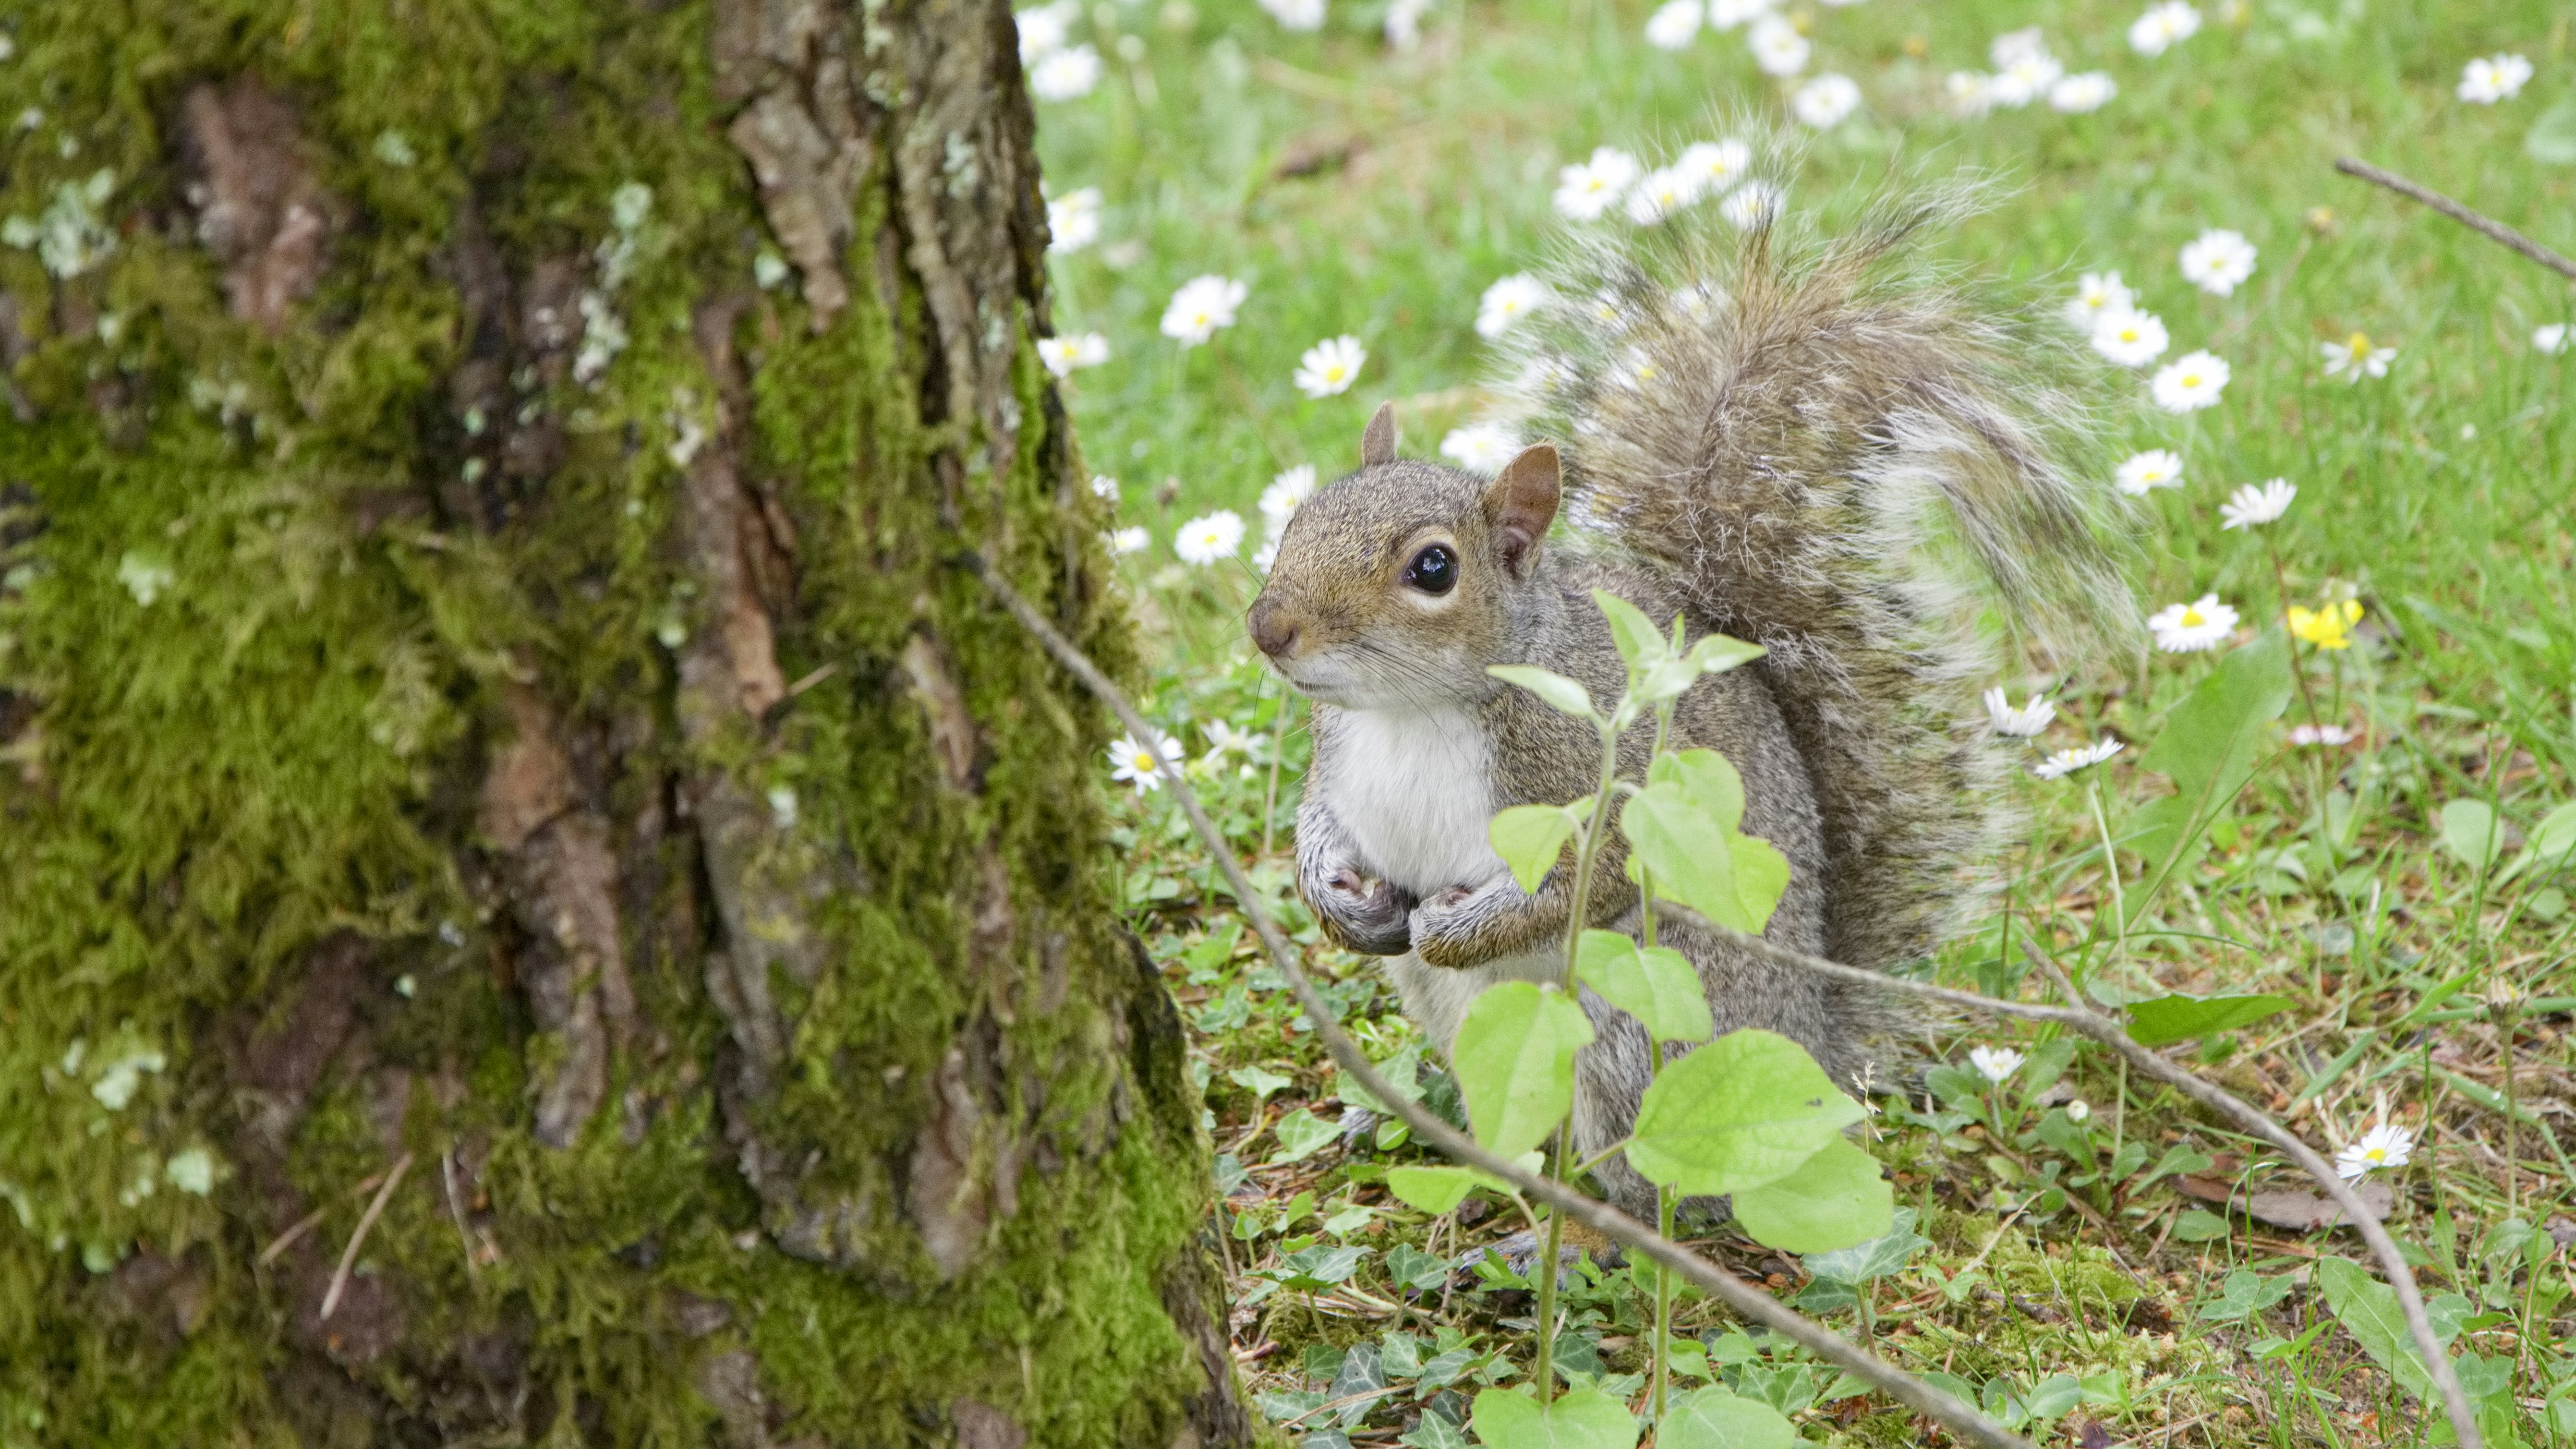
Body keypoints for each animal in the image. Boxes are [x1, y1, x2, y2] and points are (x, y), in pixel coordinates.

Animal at [1245, 171, 2132, 1217]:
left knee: (1642, 1171)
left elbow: (1590, 875)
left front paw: (1455, 925)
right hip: (1468, 1024)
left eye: (1432, 568)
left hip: (1635, 1022)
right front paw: (1335, 898)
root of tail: (1807, 1054)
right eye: (1299, 516)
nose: (1268, 627)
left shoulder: (1600, 775)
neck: (1410, 711)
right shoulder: (1336, 756)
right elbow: (1318, 825)